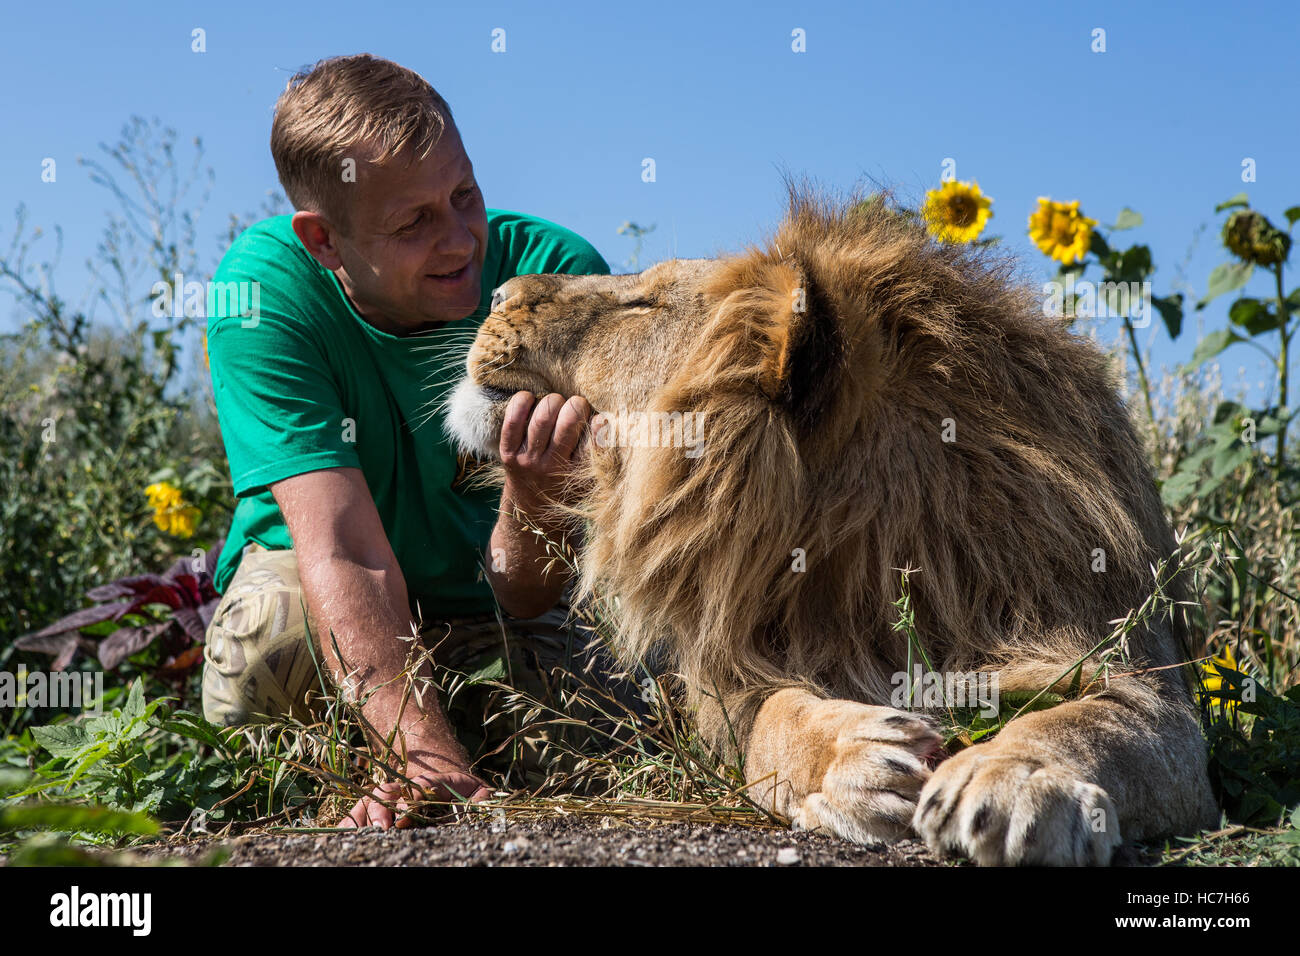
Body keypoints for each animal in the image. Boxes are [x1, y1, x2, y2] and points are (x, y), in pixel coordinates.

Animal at [445, 182, 1219, 865]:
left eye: (643, 303)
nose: (498, 293)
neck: (875, 544)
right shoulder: (729, 681)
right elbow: (773, 720)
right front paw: (852, 760)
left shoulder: (1140, 677)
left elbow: (1090, 723)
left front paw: (1012, 779)